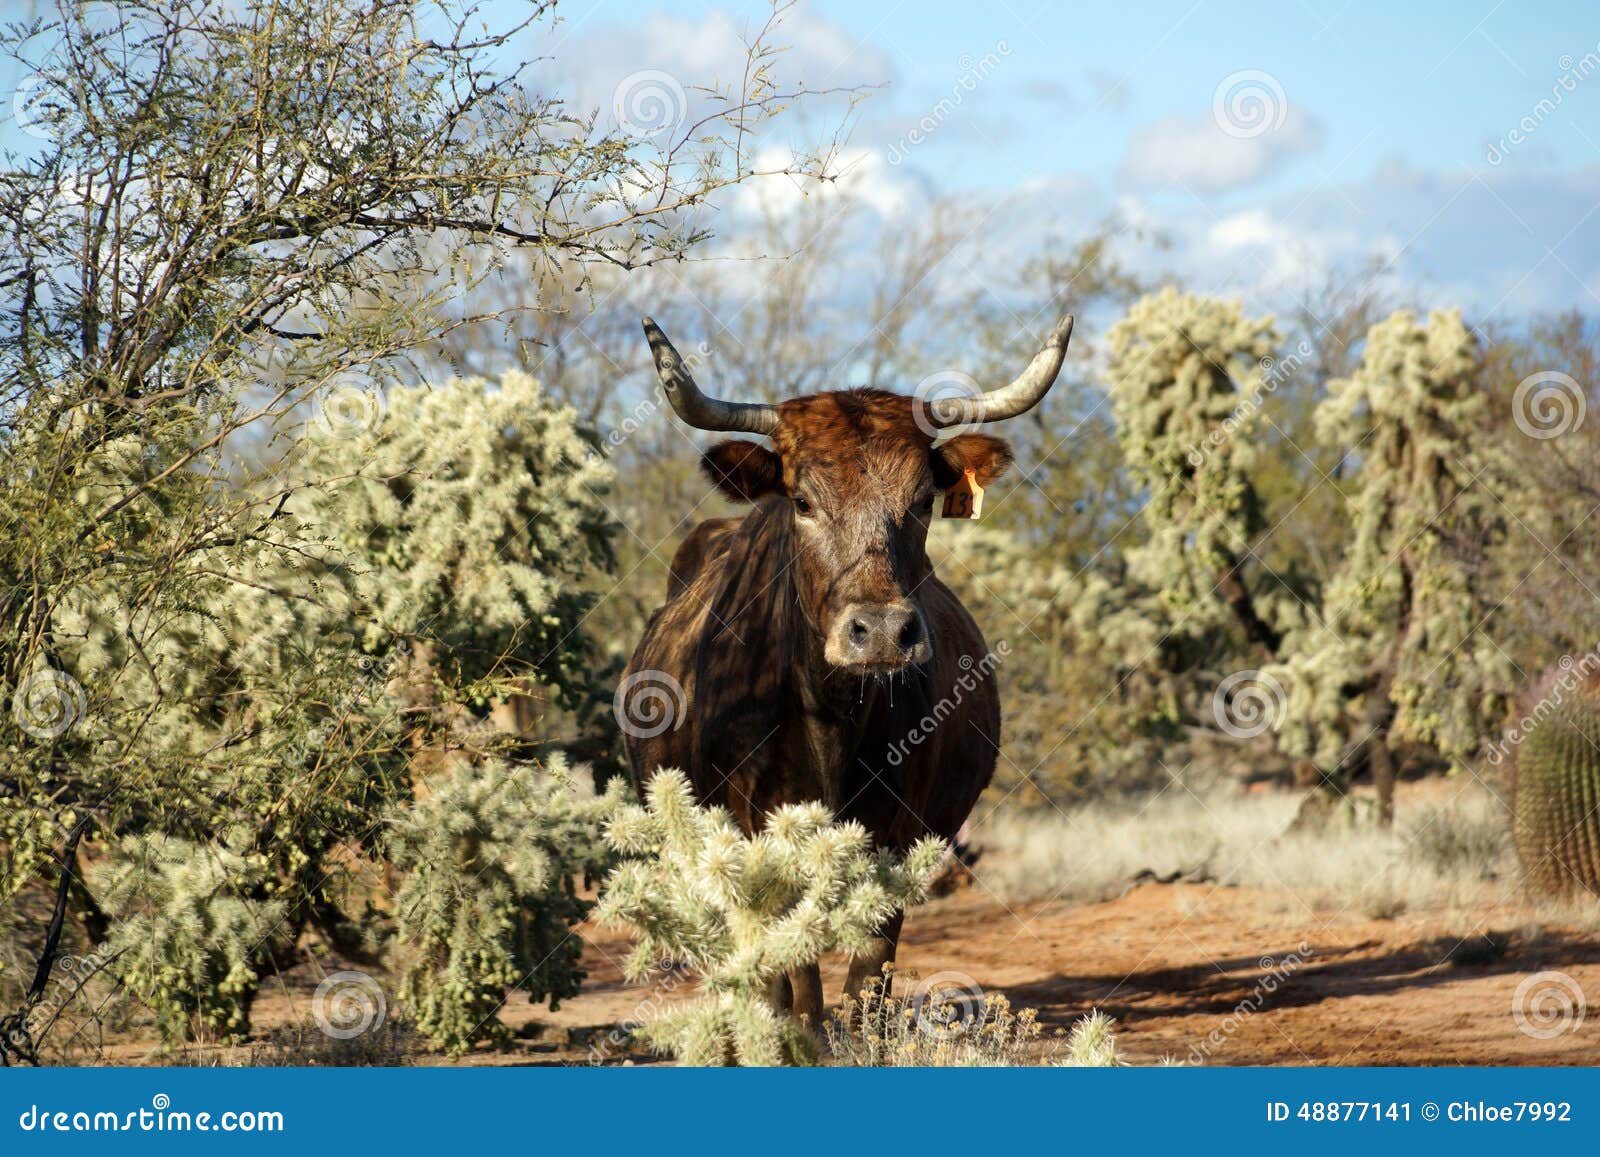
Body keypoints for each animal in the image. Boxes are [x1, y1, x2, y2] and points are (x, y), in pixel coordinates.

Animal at [619, 312, 1074, 1029]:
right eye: (803, 501)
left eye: (923, 499)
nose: (881, 632)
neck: (826, 718)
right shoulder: (758, 844)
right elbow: (793, 981)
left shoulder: (898, 839)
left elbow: (867, 980)